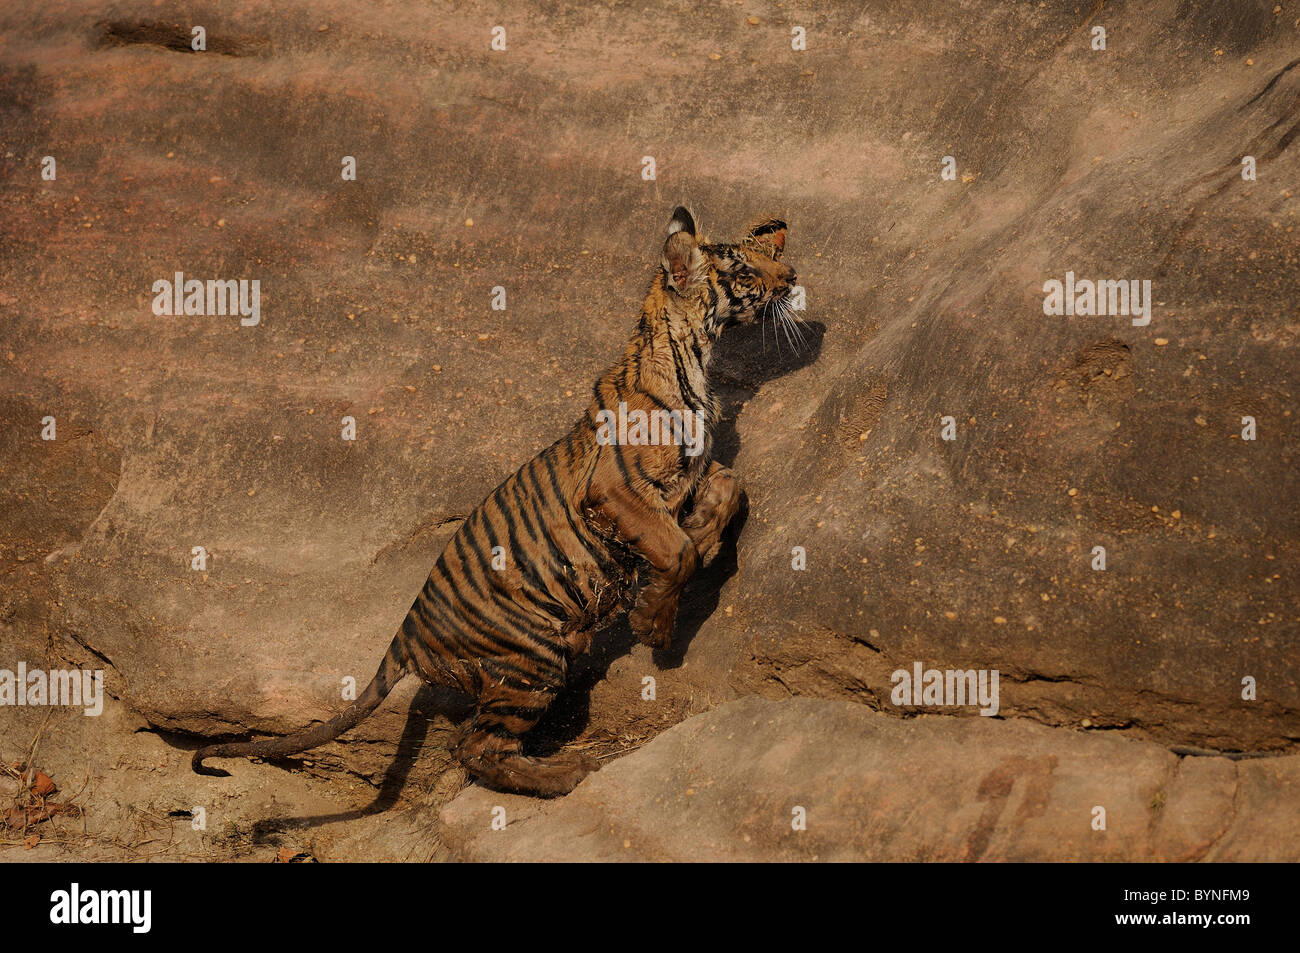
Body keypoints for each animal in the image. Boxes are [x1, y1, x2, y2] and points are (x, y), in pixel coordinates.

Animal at [193, 206, 799, 796]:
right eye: (745, 269)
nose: (792, 276)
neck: (692, 357)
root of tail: (404, 637)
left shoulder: (691, 472)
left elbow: (727, 490)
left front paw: (698, 538)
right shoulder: (615, 489)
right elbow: (675, 551)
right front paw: (654, 621)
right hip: (531, 661)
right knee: (476, 748)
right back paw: (566, 773)